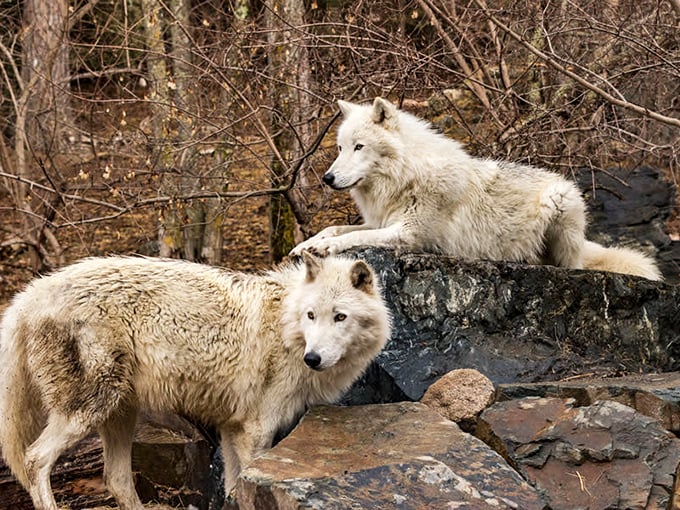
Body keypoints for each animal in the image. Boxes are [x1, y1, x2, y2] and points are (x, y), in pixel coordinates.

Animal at [0, 252, 390, 510]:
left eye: (340, 317)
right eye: (311, 315)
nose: (314, 358)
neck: (285, 326)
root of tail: (27, 297)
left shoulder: (232, 429)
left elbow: (233, 488)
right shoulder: (256, 431)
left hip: (119, 414)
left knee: (115, 478)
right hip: (88, 410)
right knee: (35, 460)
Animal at [291, 97, 661, 281]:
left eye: (359, 147)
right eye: (340, 148)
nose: (327, 178)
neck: (407, 175)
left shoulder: (409, 234)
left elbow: (353, 237)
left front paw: (324, 248)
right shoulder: (379, 220)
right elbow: (334, 227)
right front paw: (305, 245)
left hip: (560, 203)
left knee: (572, 267)